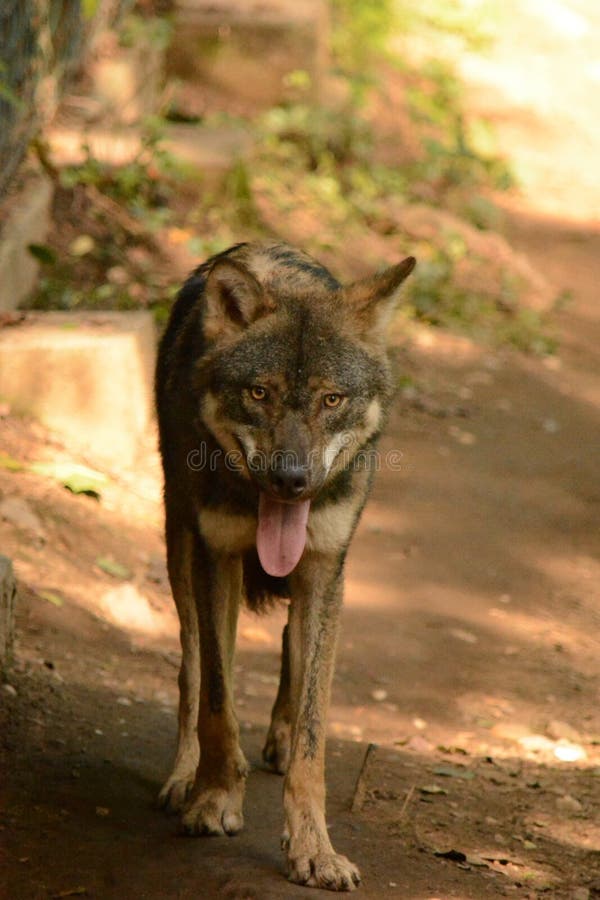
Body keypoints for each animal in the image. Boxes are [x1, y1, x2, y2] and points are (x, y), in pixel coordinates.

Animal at [155, 241, 415, 891]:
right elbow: (218, 704)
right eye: (259, 394)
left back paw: (277, 734)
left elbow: (314, 734)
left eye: (331, 399)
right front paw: (214, 800)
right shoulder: (217, 557)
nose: (292, 480)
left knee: (293, 660)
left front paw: (314, 849)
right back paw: (182, 777)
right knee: (190, 671)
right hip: (179, 545)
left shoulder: (324, 566)